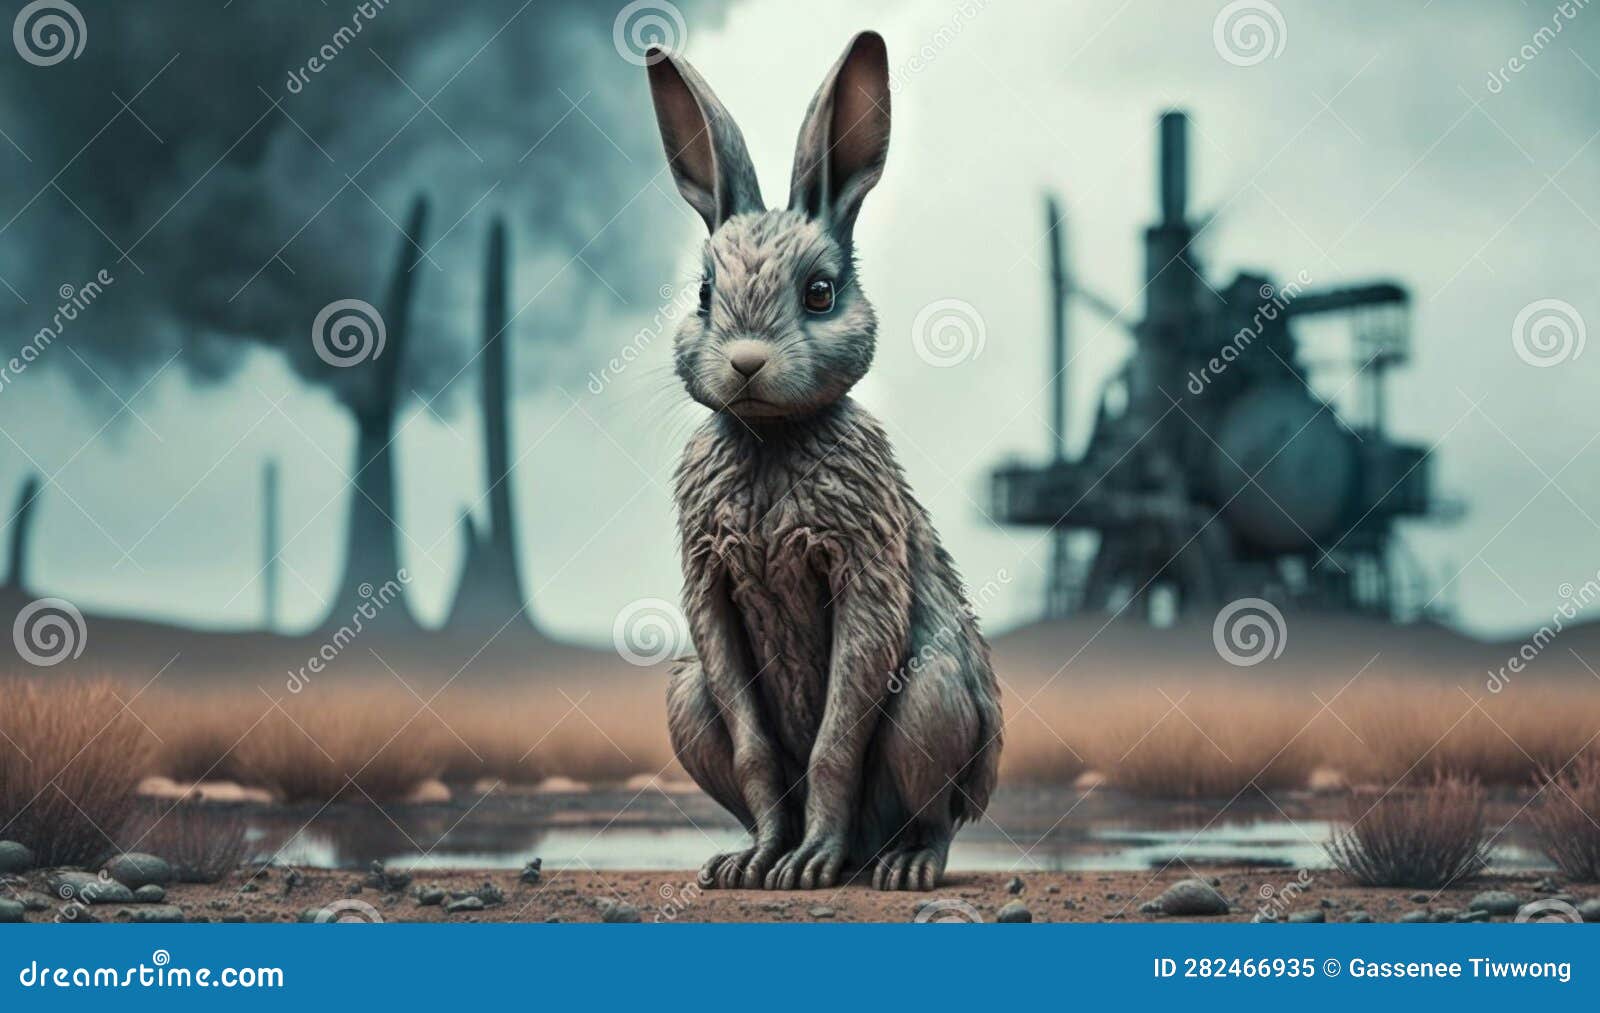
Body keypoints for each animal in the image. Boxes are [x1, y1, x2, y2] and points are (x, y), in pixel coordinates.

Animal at [647, 31, 1002, 892]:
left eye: (818, 292)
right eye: (703, 294)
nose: (746, 361)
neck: (772, 437)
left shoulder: (864, 570)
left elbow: (837, 738)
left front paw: (807, 866)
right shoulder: (708, 584)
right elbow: (757, 751)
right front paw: (761, 863)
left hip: (933, 699)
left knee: (935, 816)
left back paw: (896, 867)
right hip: (685, 695)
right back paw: (749, 856)